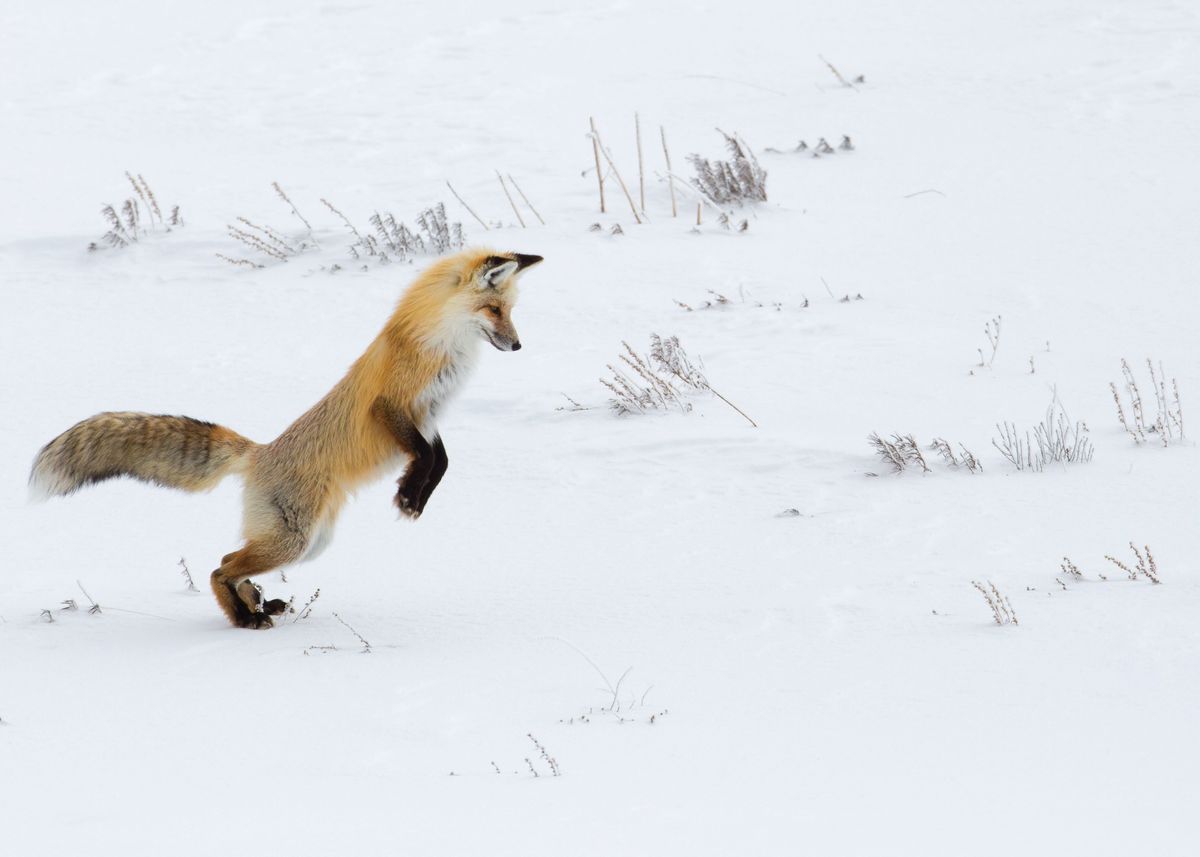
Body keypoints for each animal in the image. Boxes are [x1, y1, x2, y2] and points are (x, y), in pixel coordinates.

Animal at [29, 248, 543, 628]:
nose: (519, 345)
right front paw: (408, 496)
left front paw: (415, 495)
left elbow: (441, 461)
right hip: (294, 540)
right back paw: (245, 616)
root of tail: (259, 453)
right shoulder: (392, 407)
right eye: (494, 309)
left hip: (310, 542)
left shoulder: (431, 417)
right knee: (219, 566)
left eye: (511, 311)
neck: (441, 346)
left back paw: (257, 604)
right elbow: (424, 457)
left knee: (228, 558)